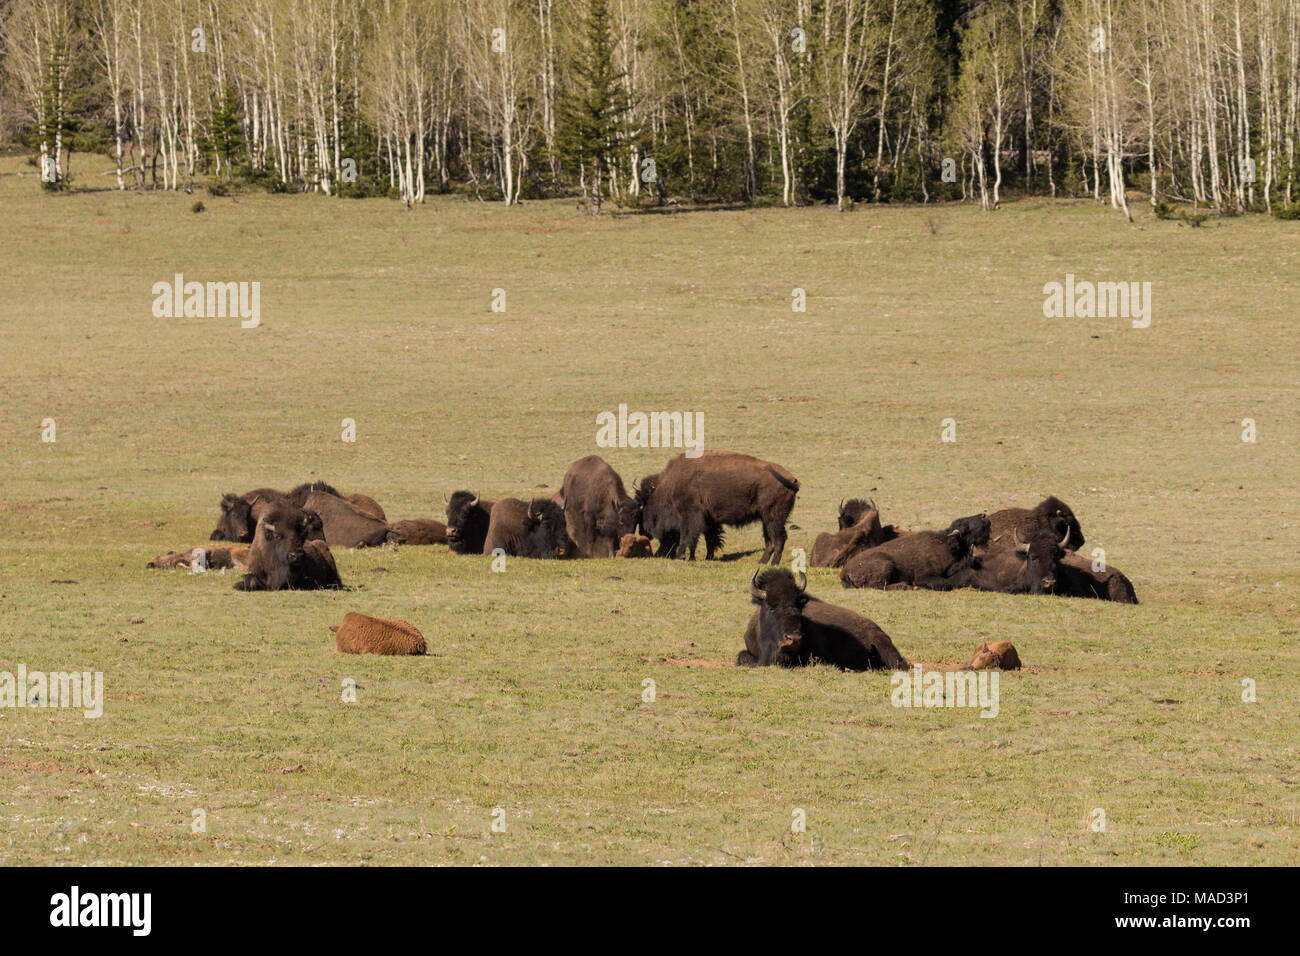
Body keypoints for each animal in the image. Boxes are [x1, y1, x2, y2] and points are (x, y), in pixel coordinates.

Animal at [636, 450, 799, 564]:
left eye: (644, 501)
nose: (643, 531)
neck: (668, 486)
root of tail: (792, 479)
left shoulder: (690, 516)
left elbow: (688, 536)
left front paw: (680, 556)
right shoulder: (709, 520)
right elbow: (709, 539)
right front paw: (707, 558)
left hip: (773, 518)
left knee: (778, 539)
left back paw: (773, 563)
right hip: (766, 519)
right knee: (769, 541)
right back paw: (762, 562)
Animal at [841, 514, 990, 590]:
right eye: (965, 526)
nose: (984, 516)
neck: (947, 545)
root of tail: (845, 571)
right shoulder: (924, 576)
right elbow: (946, 583)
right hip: (887, 565)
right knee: (878, 586)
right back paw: (907, 586)